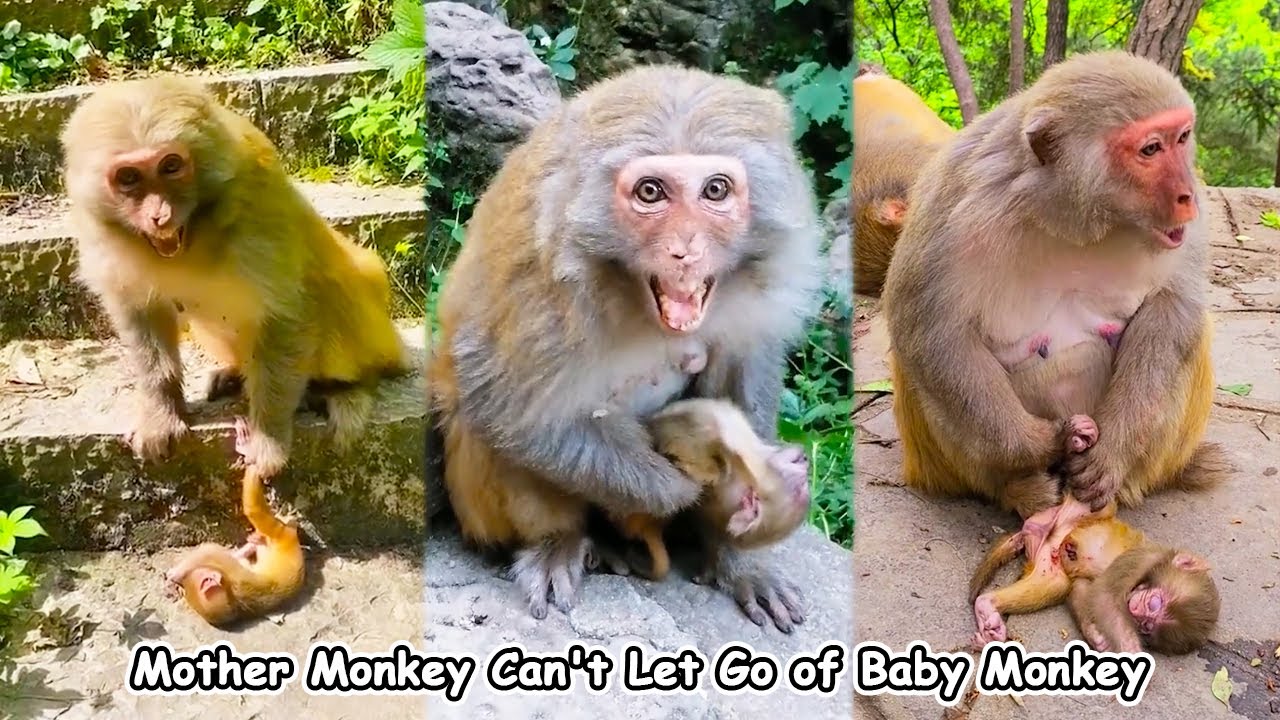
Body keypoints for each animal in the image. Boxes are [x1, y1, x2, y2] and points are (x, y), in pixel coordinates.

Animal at [61, 76, 408, 478]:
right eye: (129, 177)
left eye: (171, 165)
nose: (159, 215)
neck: (197, 231)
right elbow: (140, 313)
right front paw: (161, 414)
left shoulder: (256, 199)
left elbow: (286, 312)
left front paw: (269, 439)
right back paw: (234, 374)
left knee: (333, 288)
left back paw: (345, 389)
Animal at [164, 430, 305, 627]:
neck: (234, 598)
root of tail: (292, 538)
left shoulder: (232, 574)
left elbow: (210, 552)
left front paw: (175, 575)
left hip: (280, 535)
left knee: (254, 511)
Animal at [880, 50, 1229, 520]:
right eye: (1150, 149)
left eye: (1182, 138)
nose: (1188, 194)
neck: (1068, 214)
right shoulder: (955, 201)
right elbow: (929, 330)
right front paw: (1044, 442)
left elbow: (1174, 307)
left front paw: (1110, 454)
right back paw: (1020, 488)